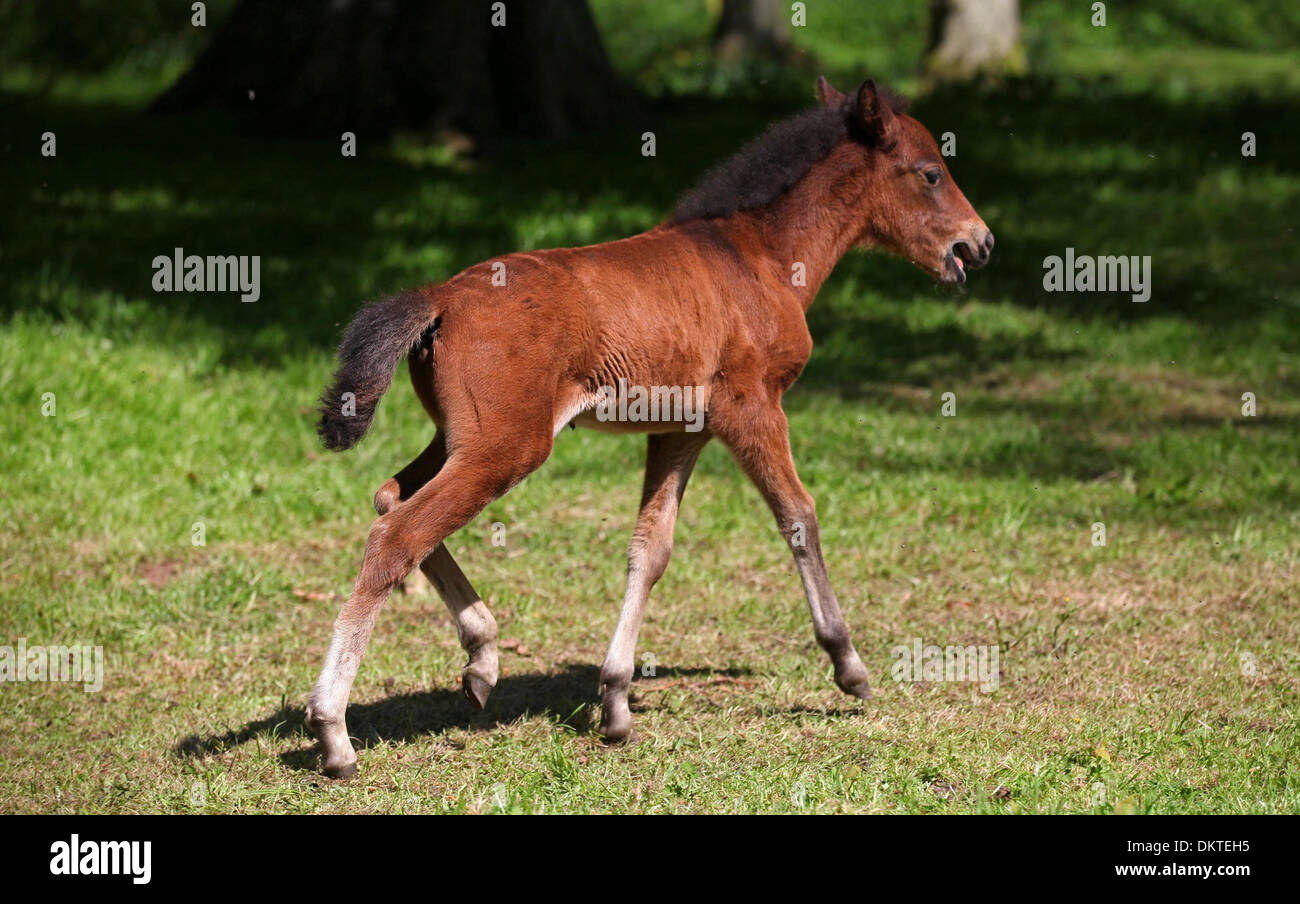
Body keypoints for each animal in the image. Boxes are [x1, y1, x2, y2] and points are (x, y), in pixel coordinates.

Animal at [306, 77, 993, 778]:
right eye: (930, 173)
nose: (978, 244)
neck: (761, 257)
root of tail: (438, 297)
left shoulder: (681, 429)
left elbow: (650, 547)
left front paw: (614, 699)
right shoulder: (752, 405)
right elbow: (799, 516)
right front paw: (848, 665)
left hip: (460, 437)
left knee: (391, 498)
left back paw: (482, 656)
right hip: (507, 447)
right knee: (397, 535)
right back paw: (334, 730)